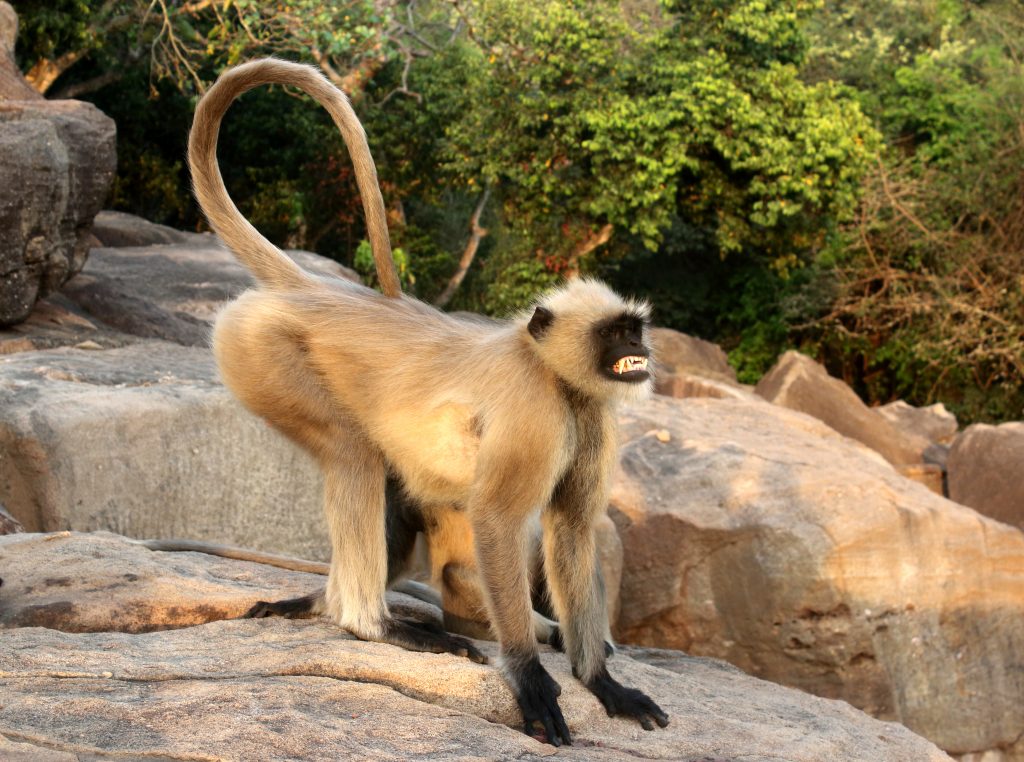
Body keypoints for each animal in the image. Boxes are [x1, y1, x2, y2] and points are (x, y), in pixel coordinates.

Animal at [187, 57, 668, 745]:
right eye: (615, 333)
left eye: (635, 328)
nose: (638, 348)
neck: (549, 372)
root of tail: (316, 291)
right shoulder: (536, 409)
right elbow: (496, 520)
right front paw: (528, 676)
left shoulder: (591, 412)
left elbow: (574, 529)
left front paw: (600, 681)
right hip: (260, 353)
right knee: (352, 453)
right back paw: (369, 622)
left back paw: (324, 604)